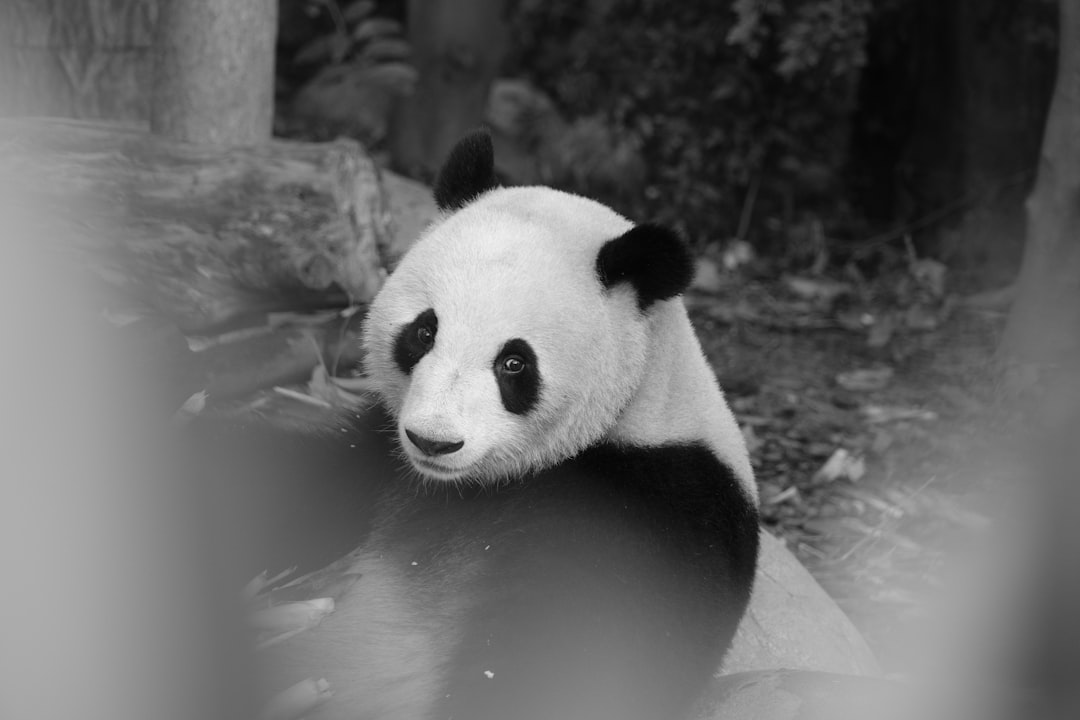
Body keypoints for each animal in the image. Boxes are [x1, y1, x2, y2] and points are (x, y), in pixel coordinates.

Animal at [249, 131, 760, 720]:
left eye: (514, 363)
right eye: (424, 331)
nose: (433, 441)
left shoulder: (660, 515)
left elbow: (568, 665)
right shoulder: (378, 455)